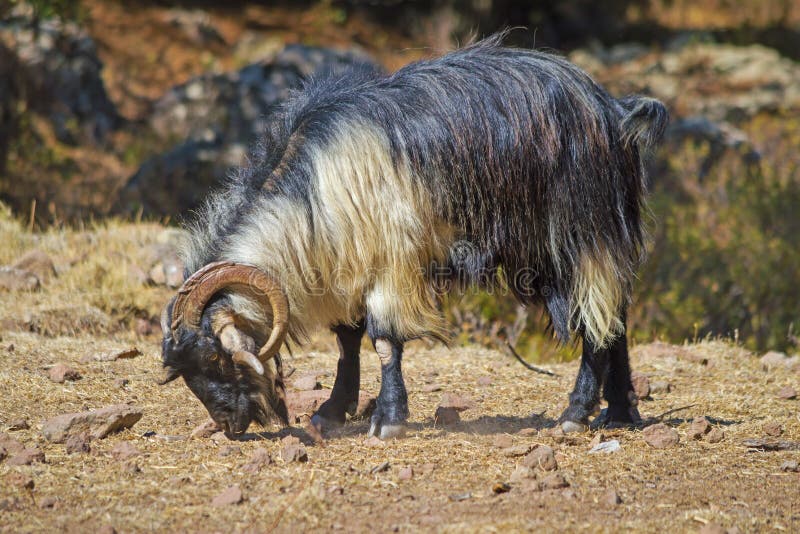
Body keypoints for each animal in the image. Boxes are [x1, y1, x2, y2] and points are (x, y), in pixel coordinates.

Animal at [159, 34, 668, 438]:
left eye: (213, 359)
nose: (230, 425)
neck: (312, 184)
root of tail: (614, 110)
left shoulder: (391, 260)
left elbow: (384, 340)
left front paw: (387, 421)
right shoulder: (347, 263)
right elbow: (347, 340)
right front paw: (332, 412)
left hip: (581, 234)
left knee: (595, 317)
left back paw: (575, 415)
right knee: (616, 316)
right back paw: (619, 413)